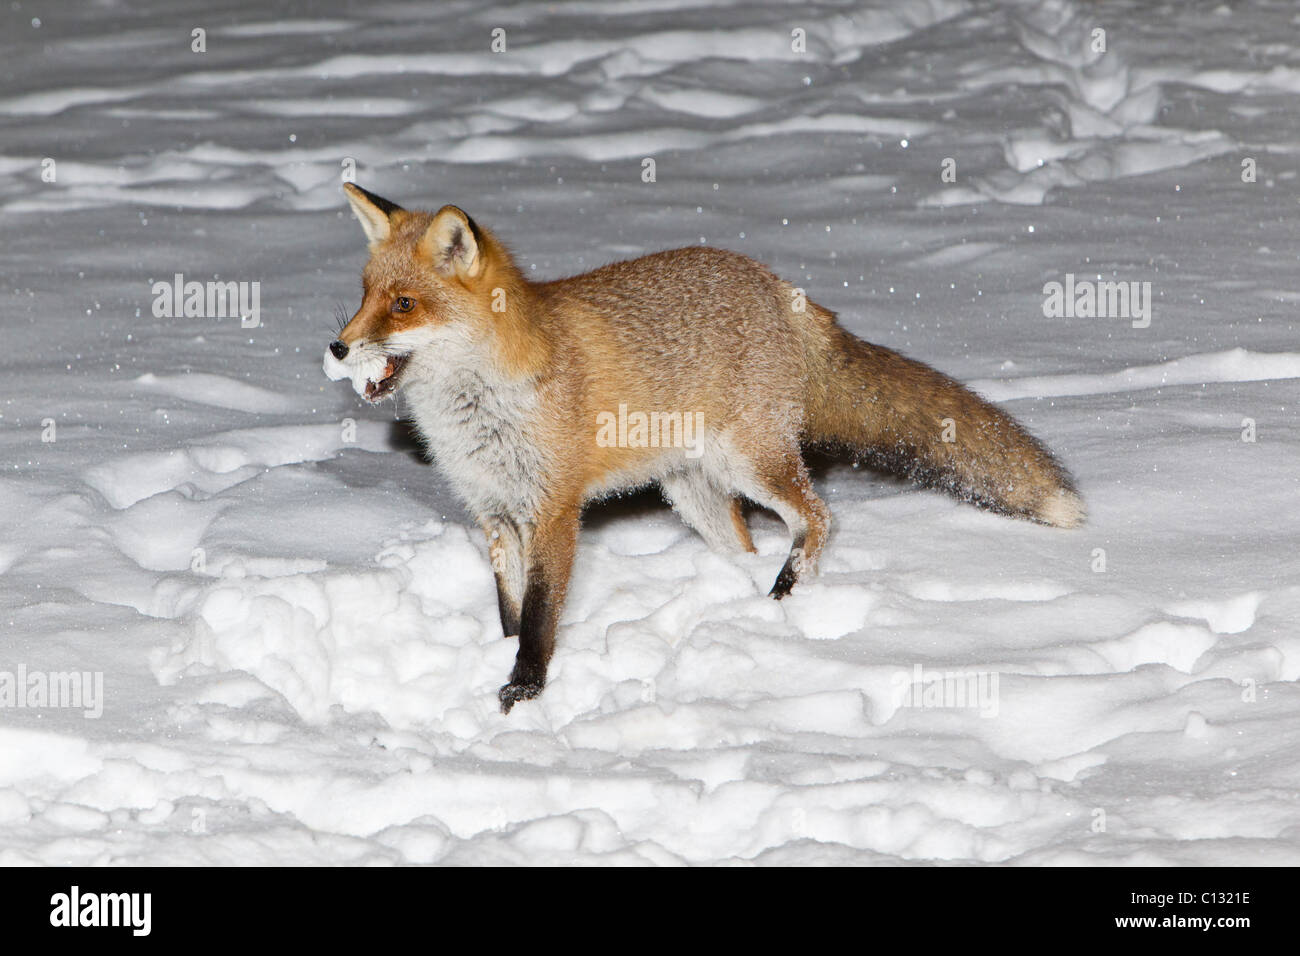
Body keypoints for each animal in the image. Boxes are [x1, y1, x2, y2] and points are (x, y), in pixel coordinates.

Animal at [324, 183, 1084, 713]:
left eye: (403, 305)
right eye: (362, 296)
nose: (336, 347)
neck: (482, 410)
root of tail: (780, 286)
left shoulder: (554, 511)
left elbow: (539, 620)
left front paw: (524, 693)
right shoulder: (496, 514)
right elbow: (511, 616)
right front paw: (500, 665)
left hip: (751, 462)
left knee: (819, 516)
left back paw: (784, 594)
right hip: (694, 494)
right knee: (748, 545)